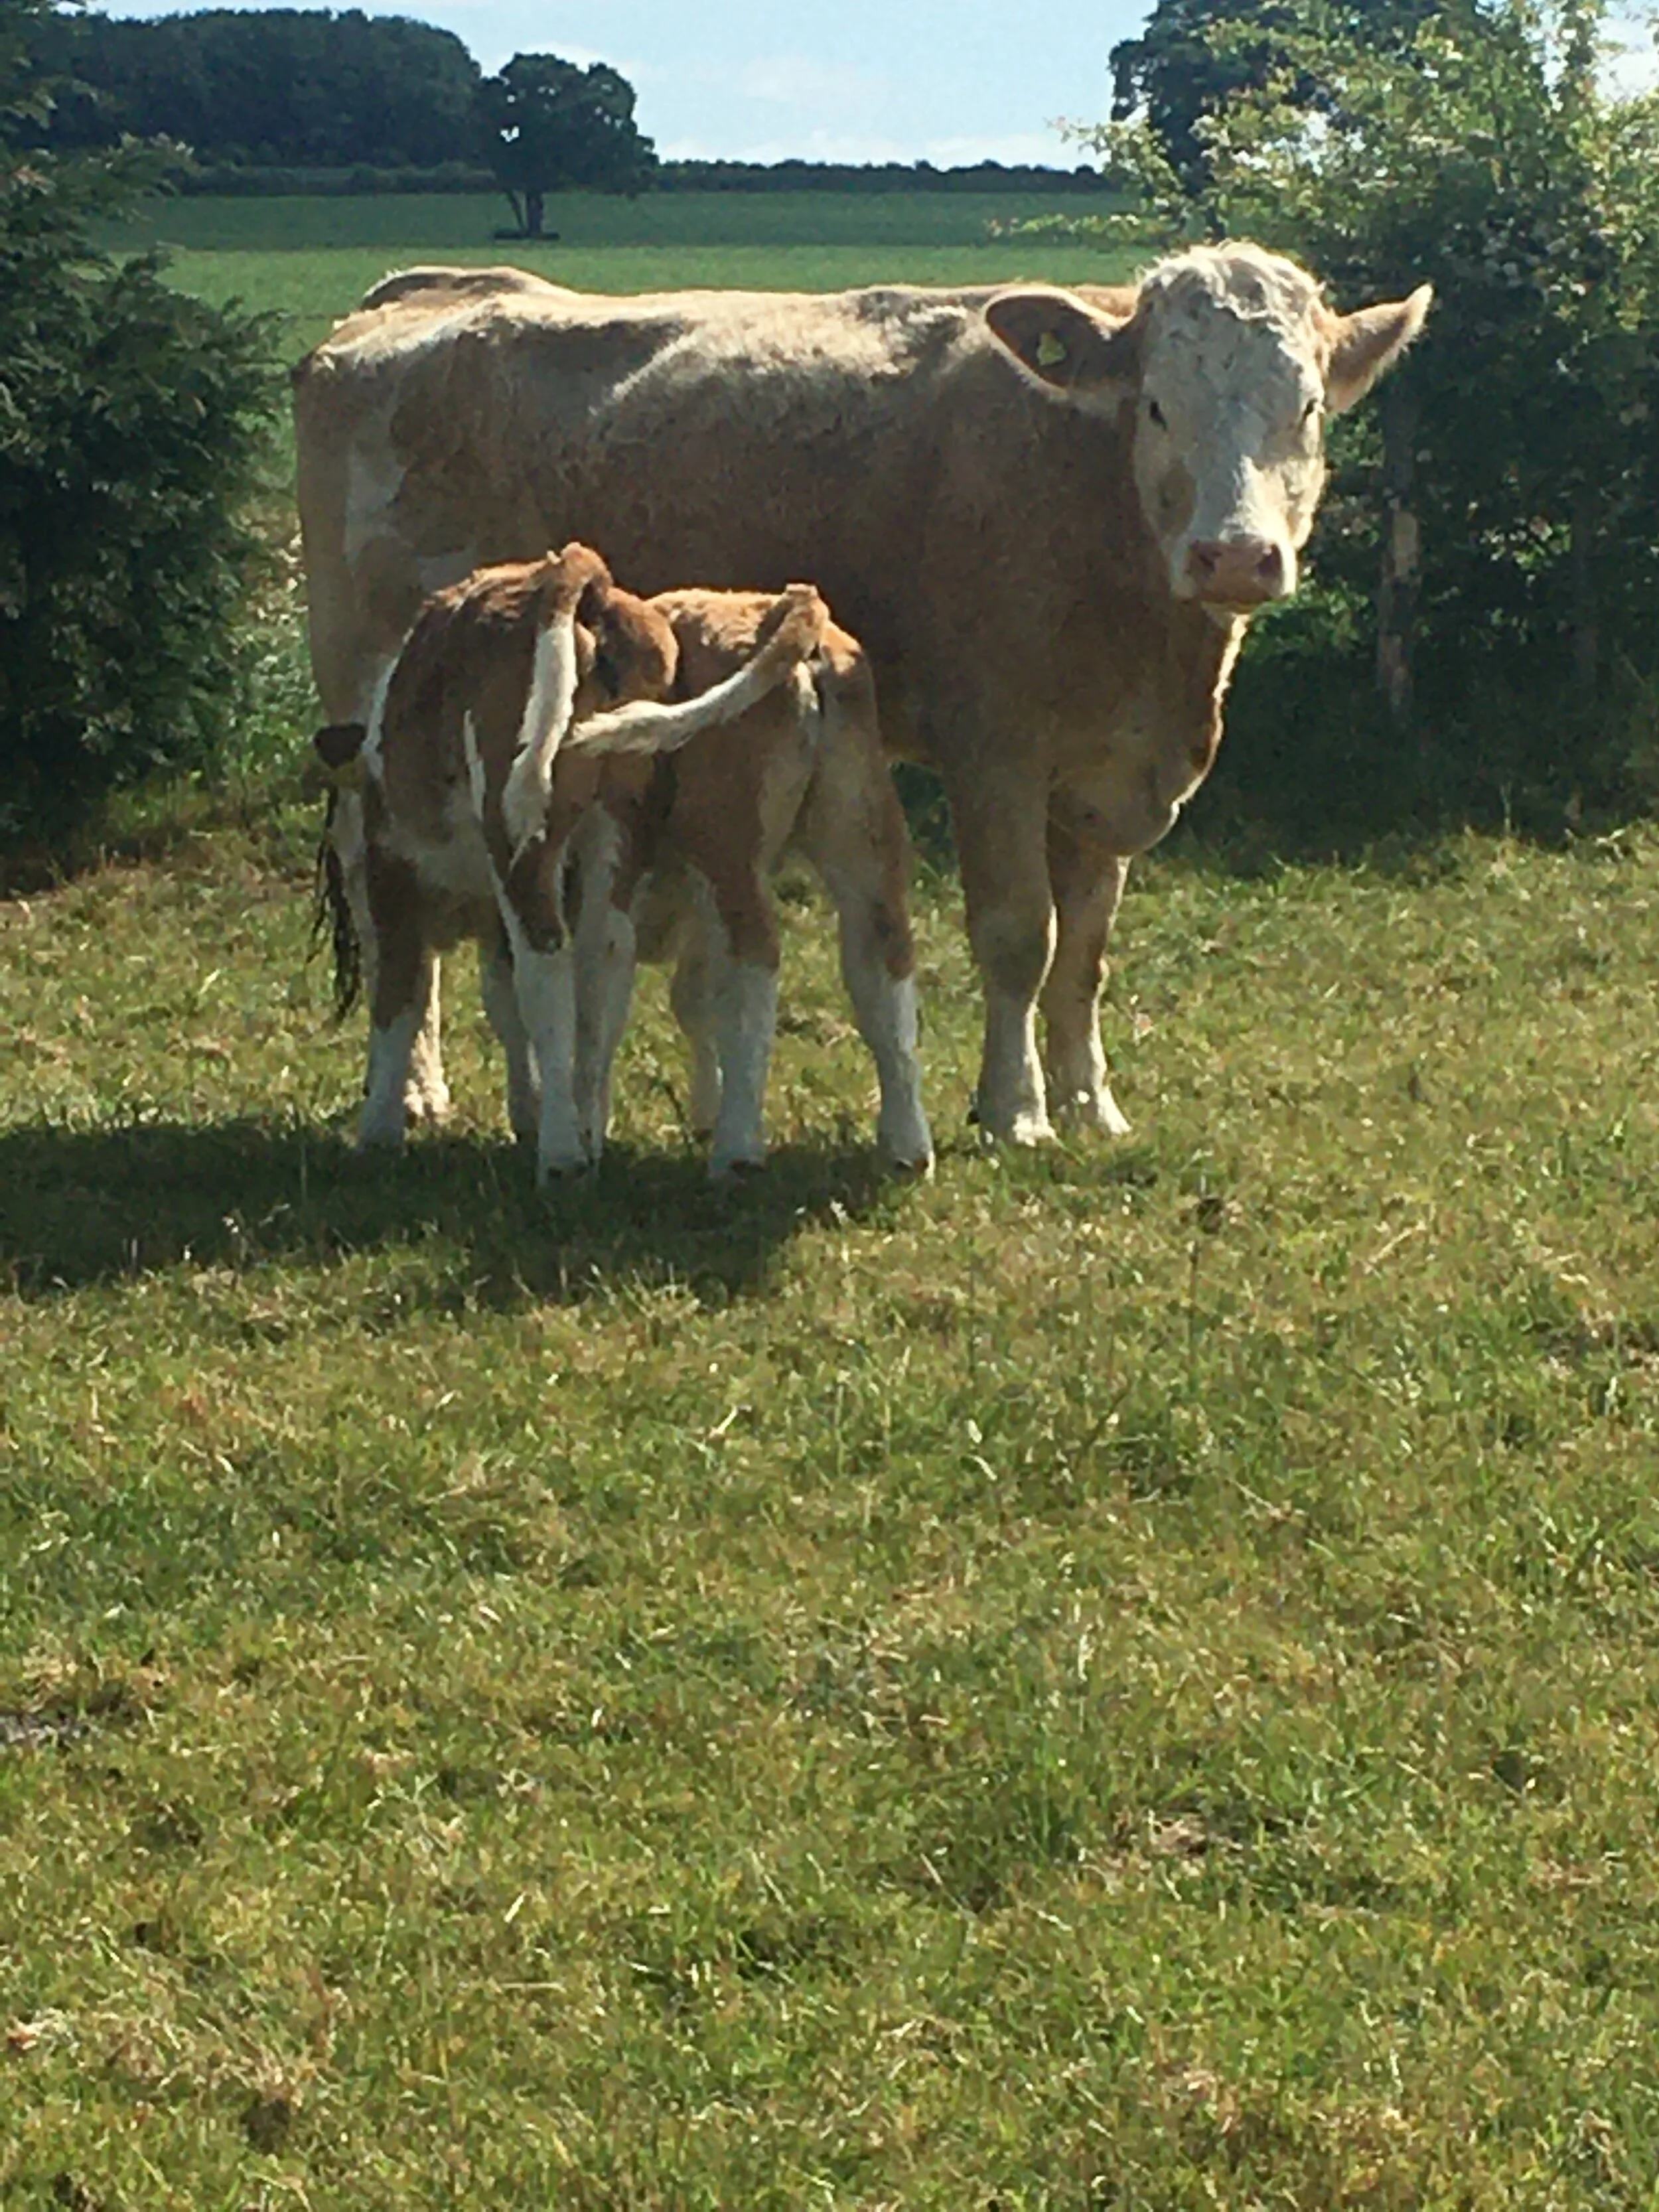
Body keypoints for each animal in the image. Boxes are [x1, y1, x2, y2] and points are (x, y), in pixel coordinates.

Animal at [312, 540, 832, 1181]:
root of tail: (578, 575)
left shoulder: (396, 880)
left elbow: (401, 1000)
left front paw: (380, 1132)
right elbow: (504, 1006)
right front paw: (524, 1110)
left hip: (523, 836)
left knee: (549, 964)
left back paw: (562, 1151)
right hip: (614, 825)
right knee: (603, 957)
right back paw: (586, 1130)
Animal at [570, 587, 933, 1178]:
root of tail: (785, 603)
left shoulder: (608, 877)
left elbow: (594, 1005)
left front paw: (583, 1133)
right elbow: (691, 999)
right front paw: (703, 1110)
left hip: (731, 851)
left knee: (756, 963)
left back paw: (738, 1150)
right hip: (863, 846)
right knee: (884, 967)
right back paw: (907, 1146)